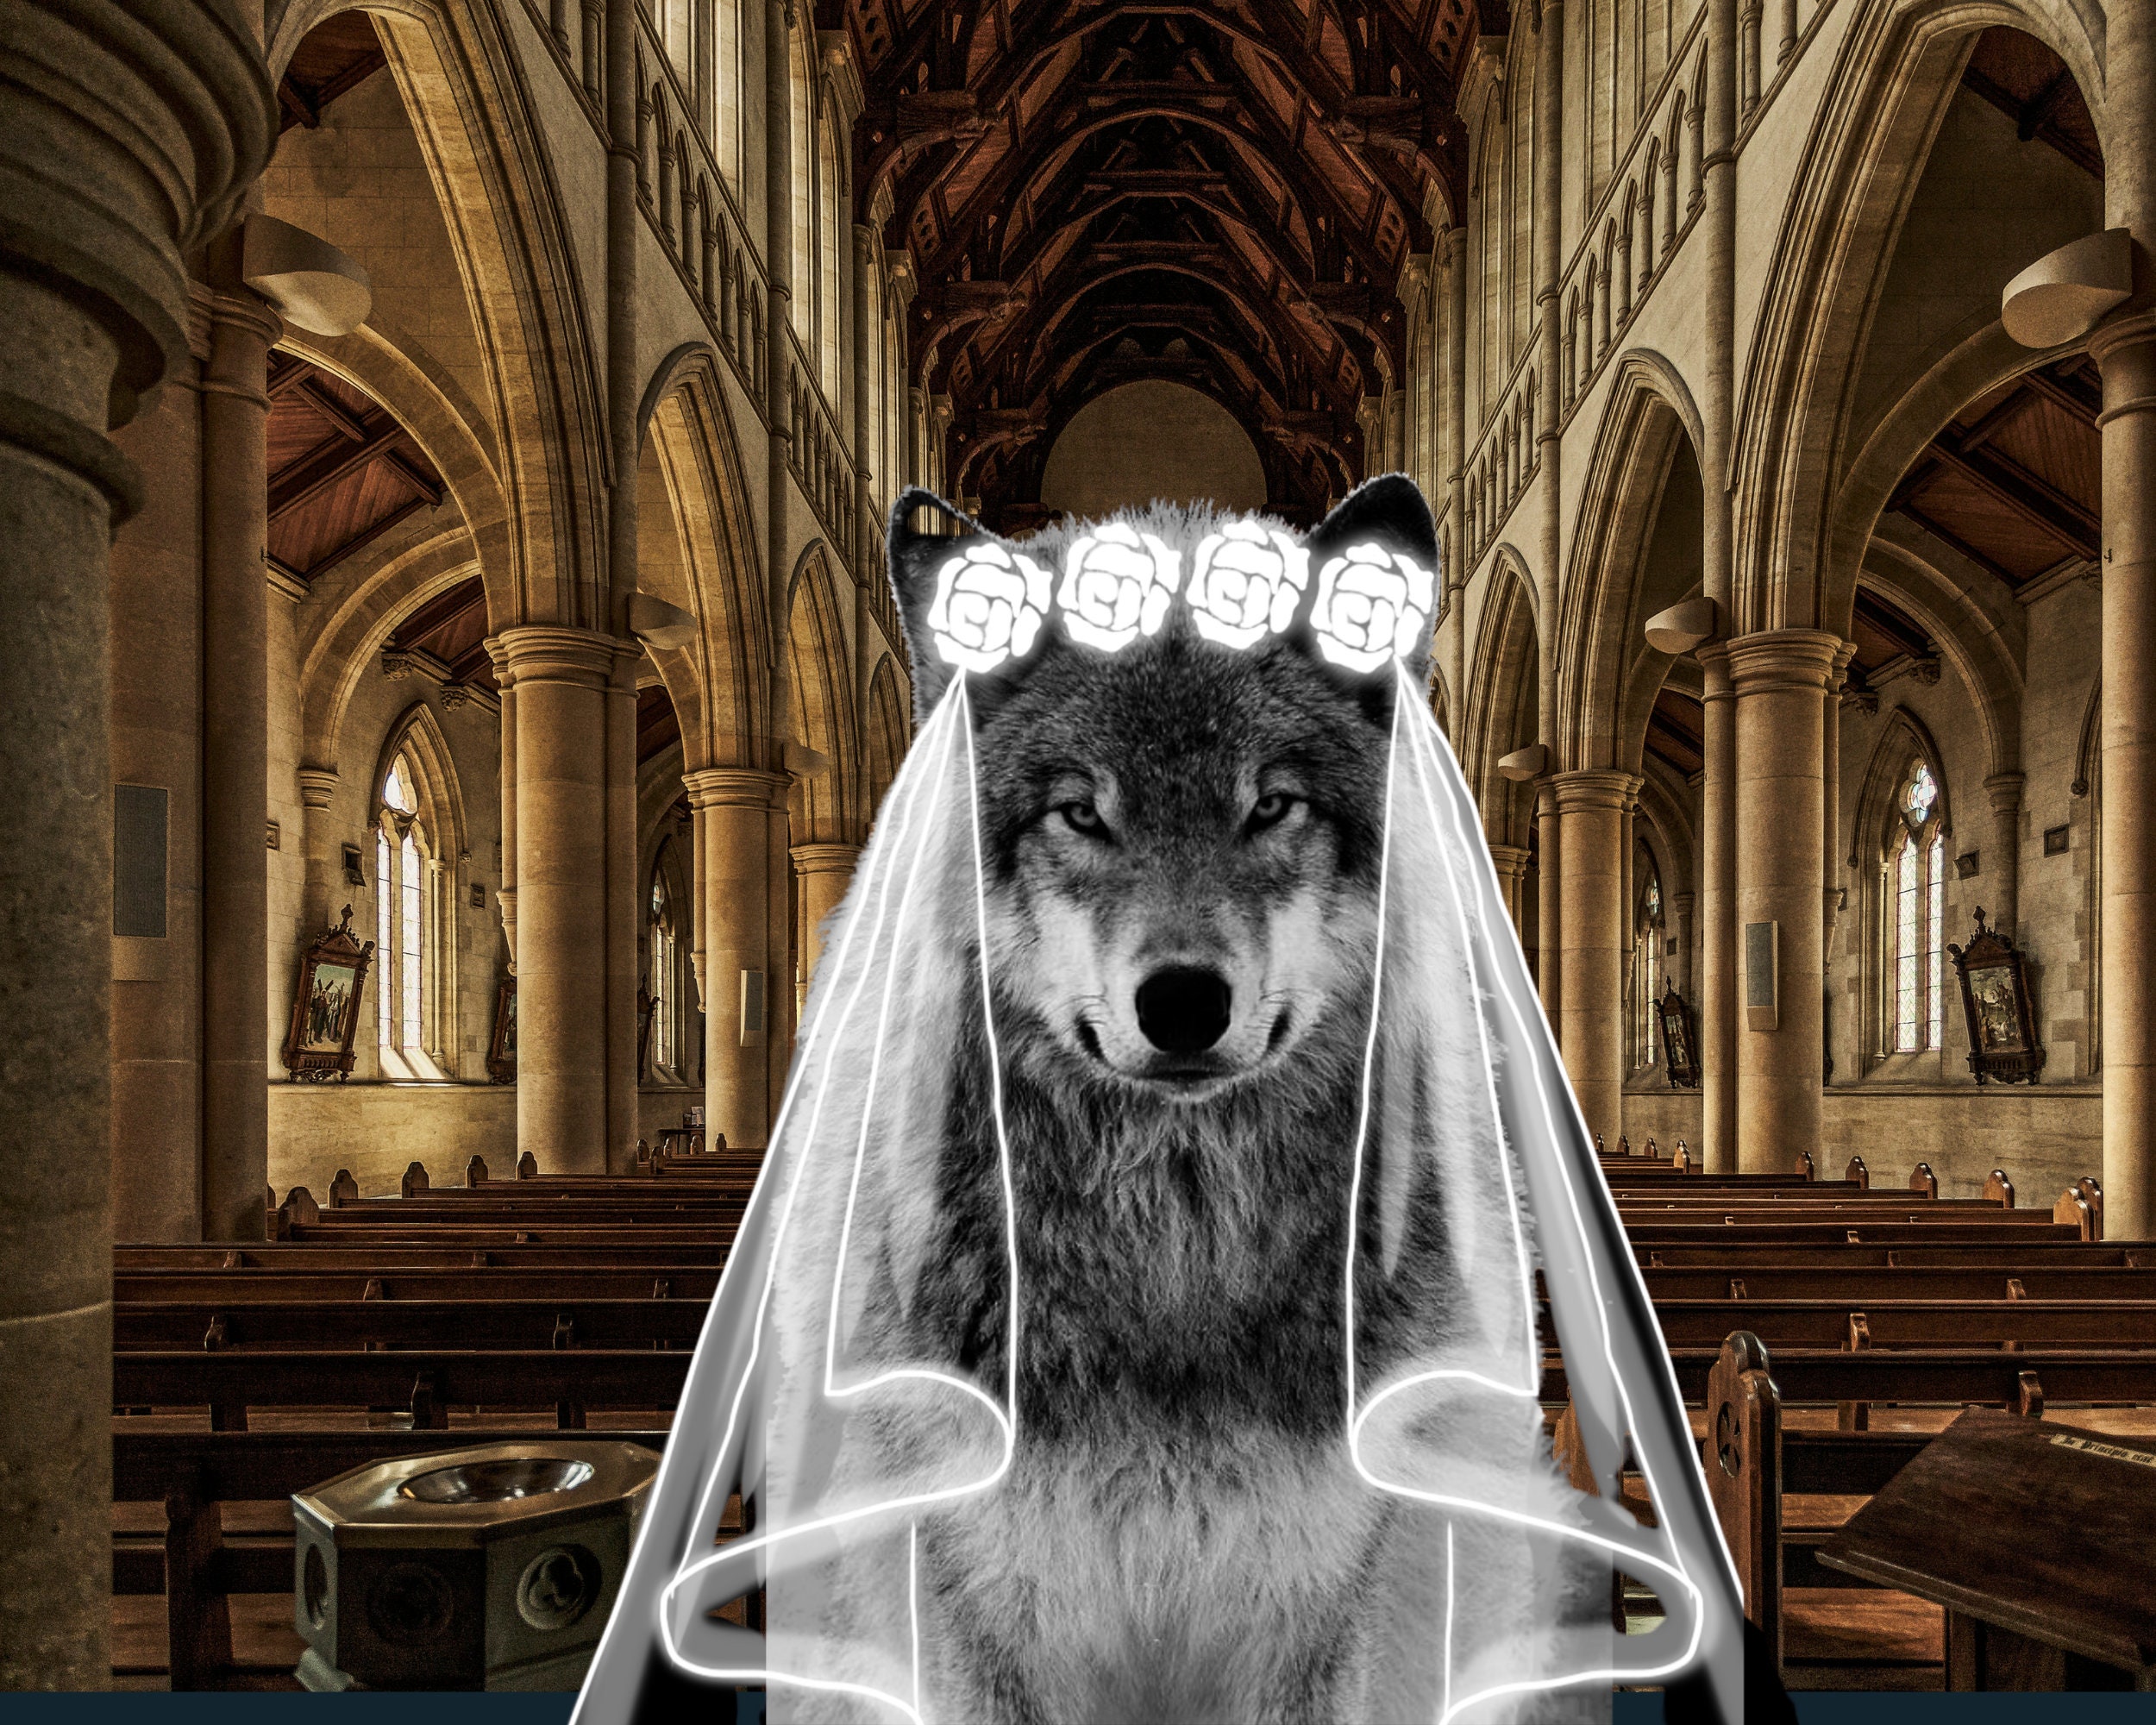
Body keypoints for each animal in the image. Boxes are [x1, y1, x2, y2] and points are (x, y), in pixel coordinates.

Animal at [762, 477, 1606, 1725]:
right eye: (1080, 812)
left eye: (1272, 805)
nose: (1183, 1002)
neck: (1171, 1259)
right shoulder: (957, 1600)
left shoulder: (1336, 1603)